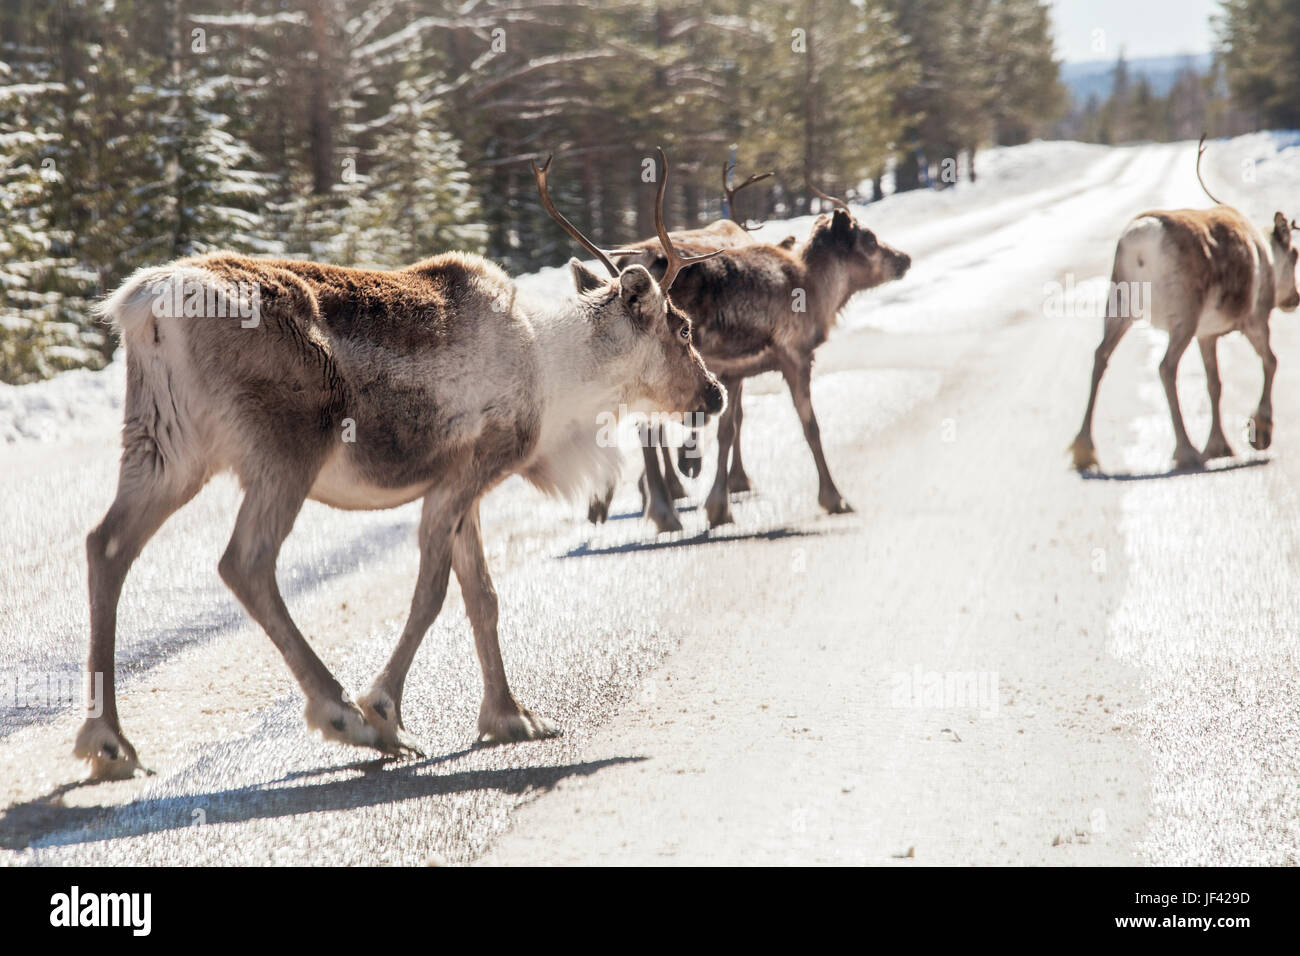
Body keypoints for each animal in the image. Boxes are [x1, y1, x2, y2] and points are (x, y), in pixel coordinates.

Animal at [73, 150, 724, 780]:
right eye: (682, 328)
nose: (714, 394)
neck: (558, 379)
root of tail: (143, 308)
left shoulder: (465, 491)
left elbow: (482, 597)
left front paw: (511, 716)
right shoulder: (466, 471)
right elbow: (432, 594)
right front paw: (385, 709)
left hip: (163, 447)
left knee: (106, 545)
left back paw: (109, 742)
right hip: (286, 448)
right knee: (245, 562)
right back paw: (343, 715)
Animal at [1070, 136, 1299, 473]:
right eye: (1295, 255)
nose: (1294, 298)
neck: (1266, 254)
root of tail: (1140, 245)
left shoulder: (1208, 333)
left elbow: (1214, 383)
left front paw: (1218, 445)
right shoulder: (1254, 318)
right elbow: (1271, 362)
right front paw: (1260, 431)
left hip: (1119, 305)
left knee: (1101, 355)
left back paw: (1084, 449)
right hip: (1183, 316)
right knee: (1166, 366)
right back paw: (1186, 449)